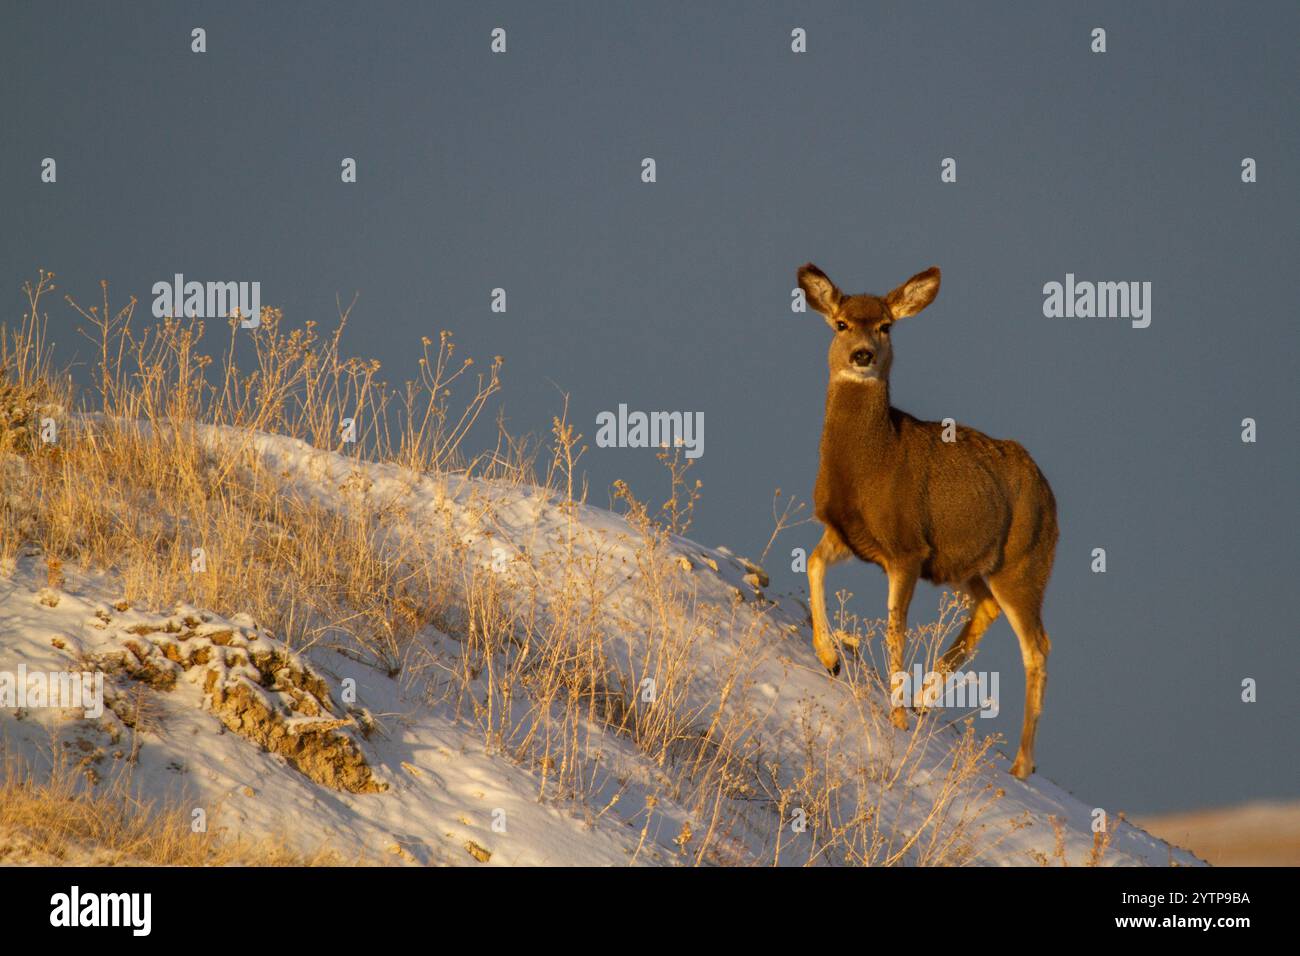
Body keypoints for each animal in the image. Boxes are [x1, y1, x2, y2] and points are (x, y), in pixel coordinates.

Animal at [797, 263, 1058, 779]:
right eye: (841, 323)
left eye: (886, 326)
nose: (862, 354)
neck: (871, 462)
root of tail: (1051, 495)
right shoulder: (847, 533)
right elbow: (813, 564)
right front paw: (830, 657)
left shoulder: (907, 547)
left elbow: (895, 626)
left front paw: (895, 716)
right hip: (967, 565)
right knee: (988, 608)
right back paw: (925, 699)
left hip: (1022, 564)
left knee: (1037, 645)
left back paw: (1021, 765)